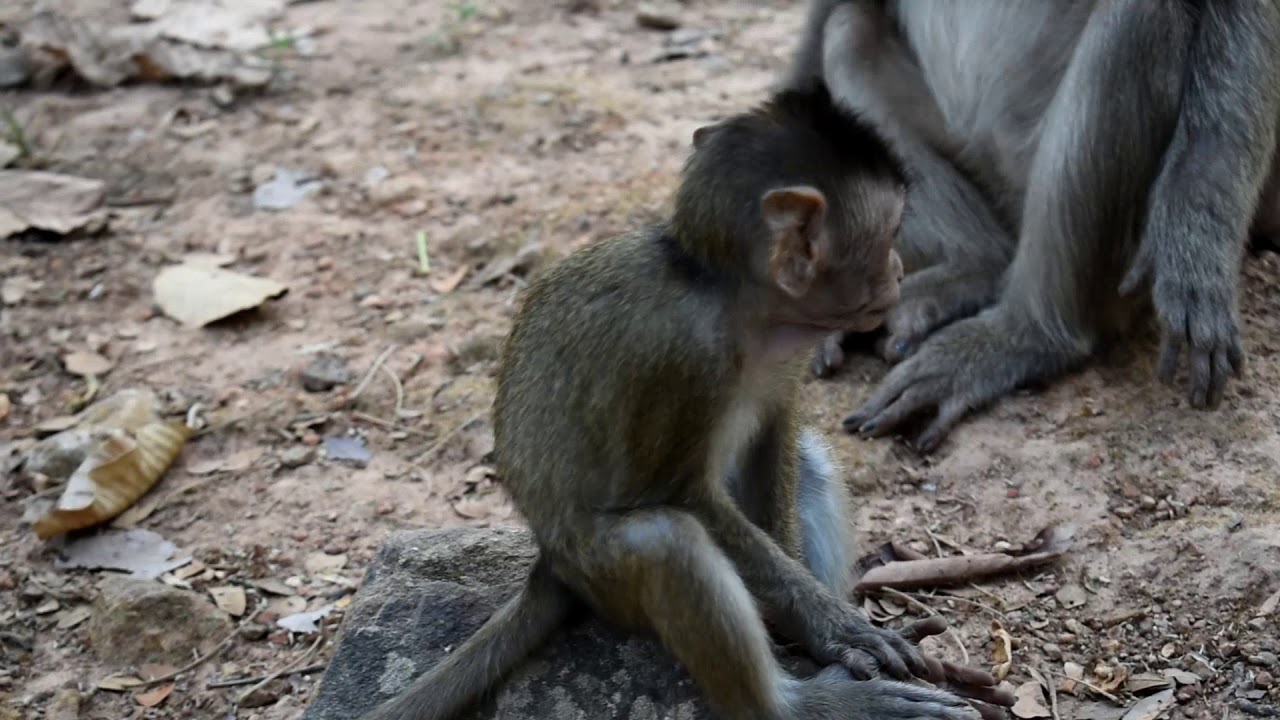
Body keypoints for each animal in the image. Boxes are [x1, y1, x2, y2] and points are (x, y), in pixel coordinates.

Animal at [357, 83, 1014, 720]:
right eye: (892, 236)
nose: (900, 270)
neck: (729, 297)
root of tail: (550, 559)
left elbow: (776, 436)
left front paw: (818, 623)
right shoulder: (684, 356)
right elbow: (674, 492)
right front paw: (829, 624)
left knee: (807, 463)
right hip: (603, 576)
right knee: (665, 543)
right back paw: (801, 705)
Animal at [783, 0, 1280, 453]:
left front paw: (1193, 261)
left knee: (1140, 17)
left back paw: (1029, 332)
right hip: (971, 156)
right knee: (850, 33)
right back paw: (973, 267)